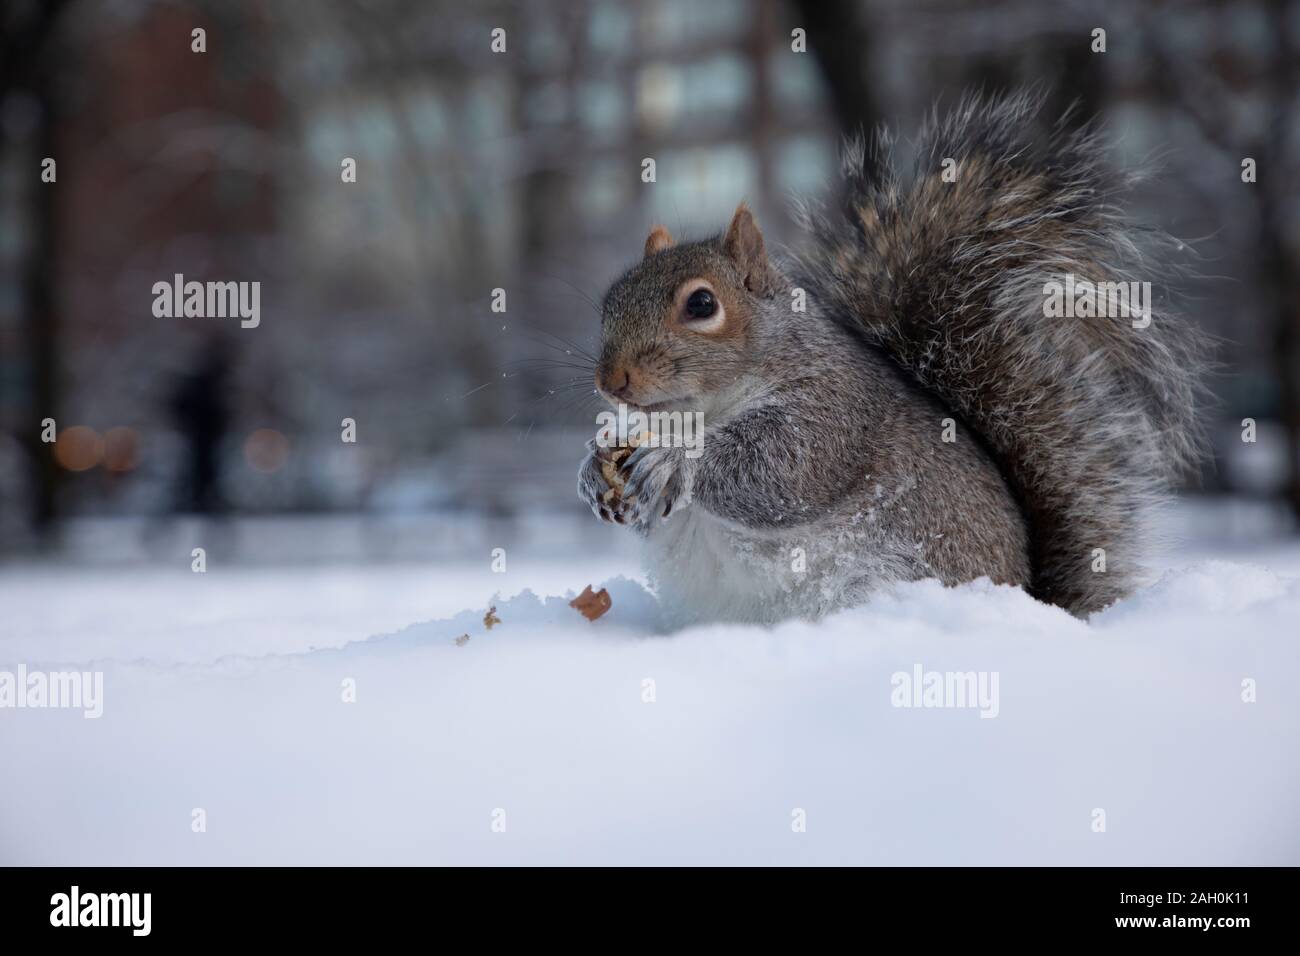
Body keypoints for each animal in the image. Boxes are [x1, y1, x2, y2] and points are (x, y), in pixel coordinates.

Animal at [577, 91, 1206, 624]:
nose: (612, 381)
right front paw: (594, 467)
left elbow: (780, 470)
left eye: (702, 304)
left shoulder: (834, 411)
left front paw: (675, 459)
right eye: (610, 299)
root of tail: (1033, 600)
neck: (701, 410)